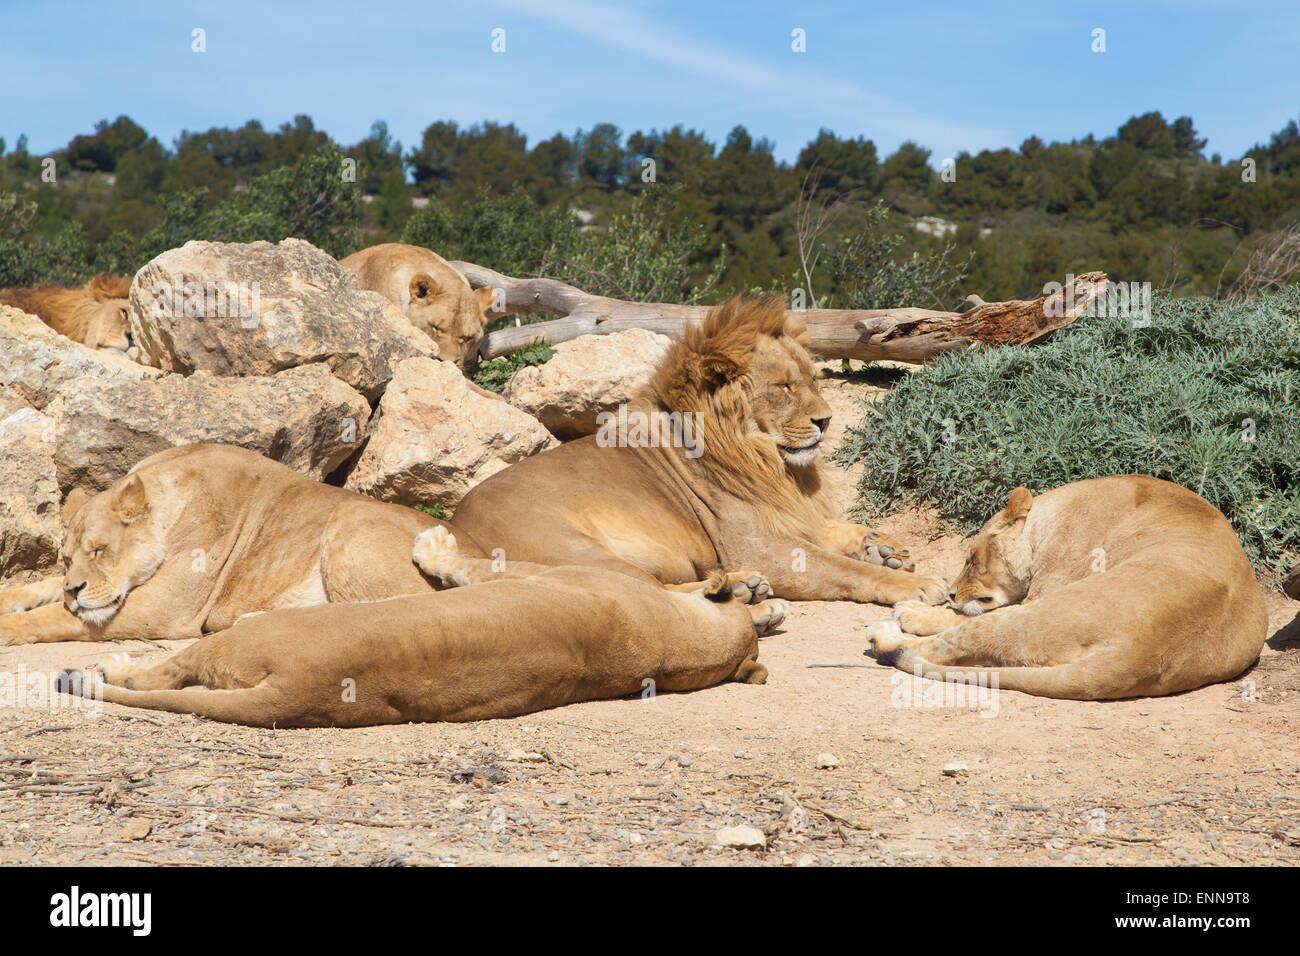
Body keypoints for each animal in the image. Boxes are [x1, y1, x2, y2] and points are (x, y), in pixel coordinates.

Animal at [0, 444, 478, 646]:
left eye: (100, 550)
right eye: (66, 559)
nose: (75, 589)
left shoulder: (164, 611)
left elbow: (50, 618)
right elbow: (42, 589)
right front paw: (16, 597)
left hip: (350, 516)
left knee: (372, 611)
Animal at [62, 526, 769, 727]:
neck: (672, 643)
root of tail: (297, 690)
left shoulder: (535, 572)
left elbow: (473, 562)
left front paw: (433, 545)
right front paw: (755, 596)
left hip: (253, 638)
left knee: (163, 671)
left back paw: (99, 669)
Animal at [449, 295, 948, 607]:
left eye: (812, 381)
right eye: (784, 388)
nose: (826, 421)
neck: (770, 463)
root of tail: (457, 526)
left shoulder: (785, 516)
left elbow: (835, 531)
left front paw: (883, 547)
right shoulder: (758, 548)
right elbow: (844, 569)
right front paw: (915, 581)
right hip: (579, 552)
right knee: (645, 592)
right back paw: (743, 594)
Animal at [866, 476, 1269, 699]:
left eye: (972, 558)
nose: (951, 593)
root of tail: (1142, 654)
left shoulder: (1047, 587)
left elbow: (958, 618)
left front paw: (915, 611)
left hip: (1043, 612)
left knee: (948, 643)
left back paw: (884, 635)